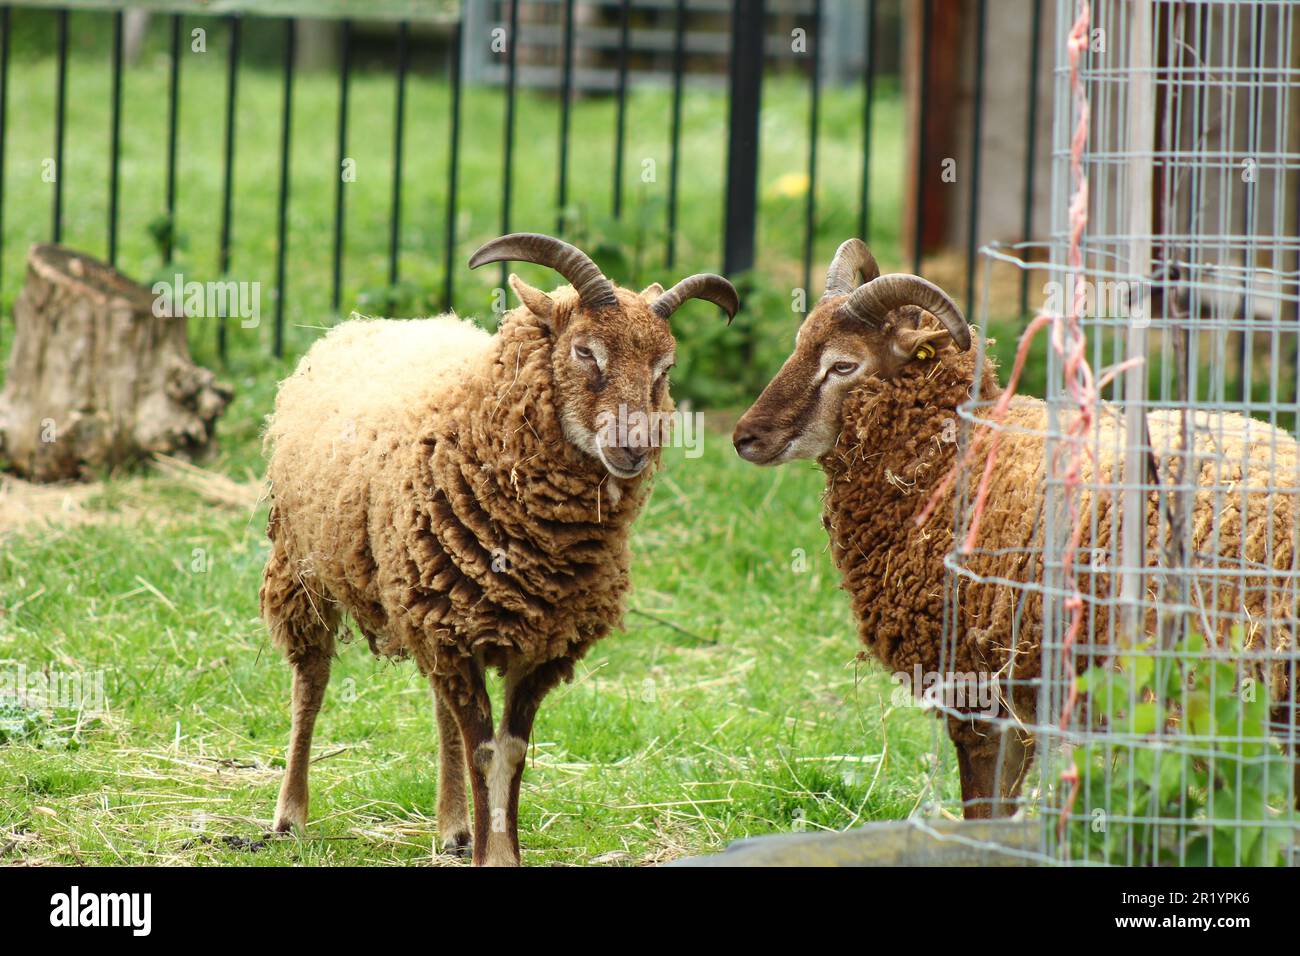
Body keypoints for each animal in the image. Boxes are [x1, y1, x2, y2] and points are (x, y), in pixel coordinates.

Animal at [260, 232, 738, 865]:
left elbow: (508, 749)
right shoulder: (450, 628)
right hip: (303, 569)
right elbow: (485, 749)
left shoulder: (538, 642)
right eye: (584, 351)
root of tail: (366, 323)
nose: (632, 449)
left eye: (666, 368)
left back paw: (454, 827)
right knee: (310, 686)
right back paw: (290, 815)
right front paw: (493, 852)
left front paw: (500, 849)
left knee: (442, 714)